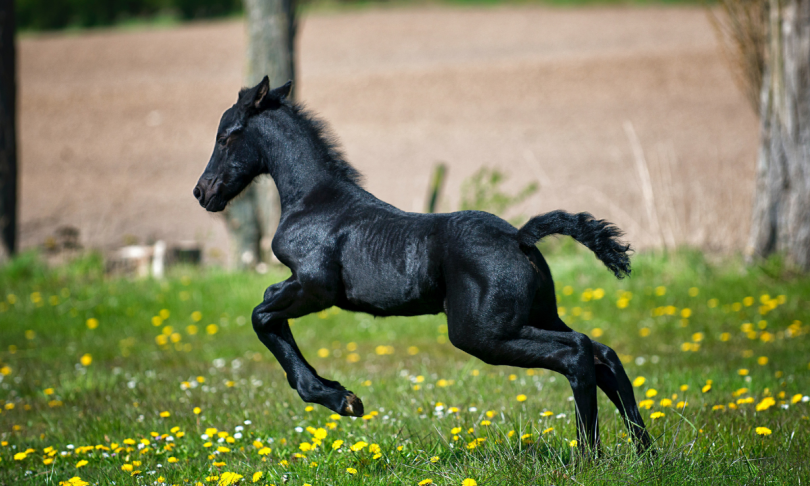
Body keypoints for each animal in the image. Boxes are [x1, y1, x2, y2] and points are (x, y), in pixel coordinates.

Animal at [193, 76, 653, 454]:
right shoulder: (300, 286)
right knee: (603, 353)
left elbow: (261, 315)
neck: (315, 201)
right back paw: (644, 451)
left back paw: (588, 455)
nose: (202, 192)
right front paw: (338, 393)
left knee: (576, 352)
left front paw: (340, 399)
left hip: (483, 333)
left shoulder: (315, 287)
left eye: (224, 137)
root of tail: (520, 237)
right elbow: (269, 309)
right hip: (535, 315)